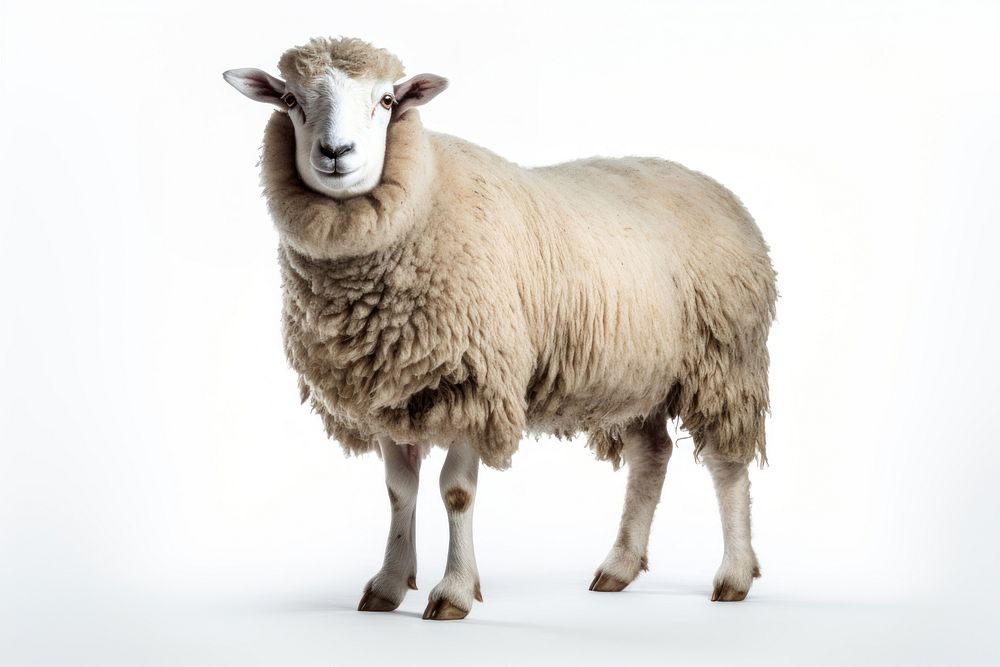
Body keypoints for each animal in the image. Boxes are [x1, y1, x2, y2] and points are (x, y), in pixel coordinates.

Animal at [223, 36, 777, 621]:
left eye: (388, 101)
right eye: (289, 100)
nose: (335, 152)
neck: (424, 200)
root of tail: (717, 189)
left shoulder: (478, 380)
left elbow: (456, 492)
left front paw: (454, 591)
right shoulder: (389, 388)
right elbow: (399, 490)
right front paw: (389, 584)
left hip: (725, 360)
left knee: (726, 465)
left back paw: (735, 574)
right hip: (637, 372)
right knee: (652, 457)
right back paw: (619, 567)